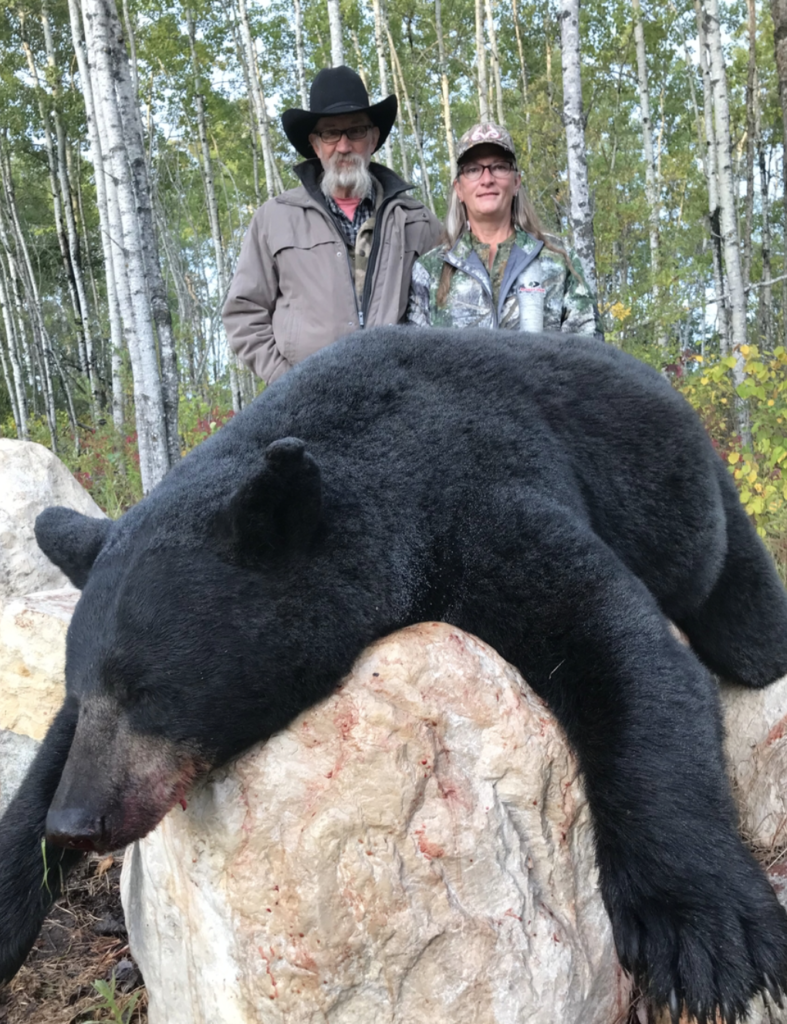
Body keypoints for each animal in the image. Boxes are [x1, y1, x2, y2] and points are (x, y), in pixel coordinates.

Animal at [1, 326, 787, 1023]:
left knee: (741, 610)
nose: (77, 821)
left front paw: (699, 932)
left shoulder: (482, 503)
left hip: (693, 498)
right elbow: (47, 758)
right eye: (86, 692)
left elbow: (624, 652)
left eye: (152, 692)